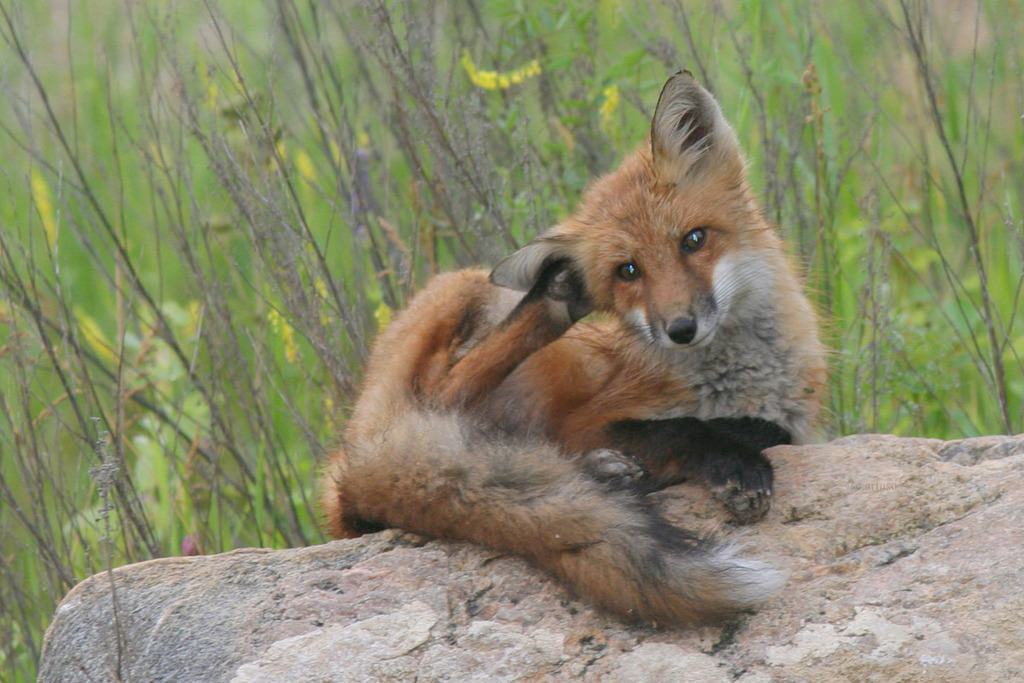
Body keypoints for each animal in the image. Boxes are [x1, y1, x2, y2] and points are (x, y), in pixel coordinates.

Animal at [320, 71, 827, 626]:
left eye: (694, 240)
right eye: (628, 271)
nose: (680, 328)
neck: (739, 378)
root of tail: (351, 457)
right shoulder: (588, 420)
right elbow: (683, 428)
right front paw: (734, 462)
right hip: (462, 294)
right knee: (446, 398)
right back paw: (555, 306)